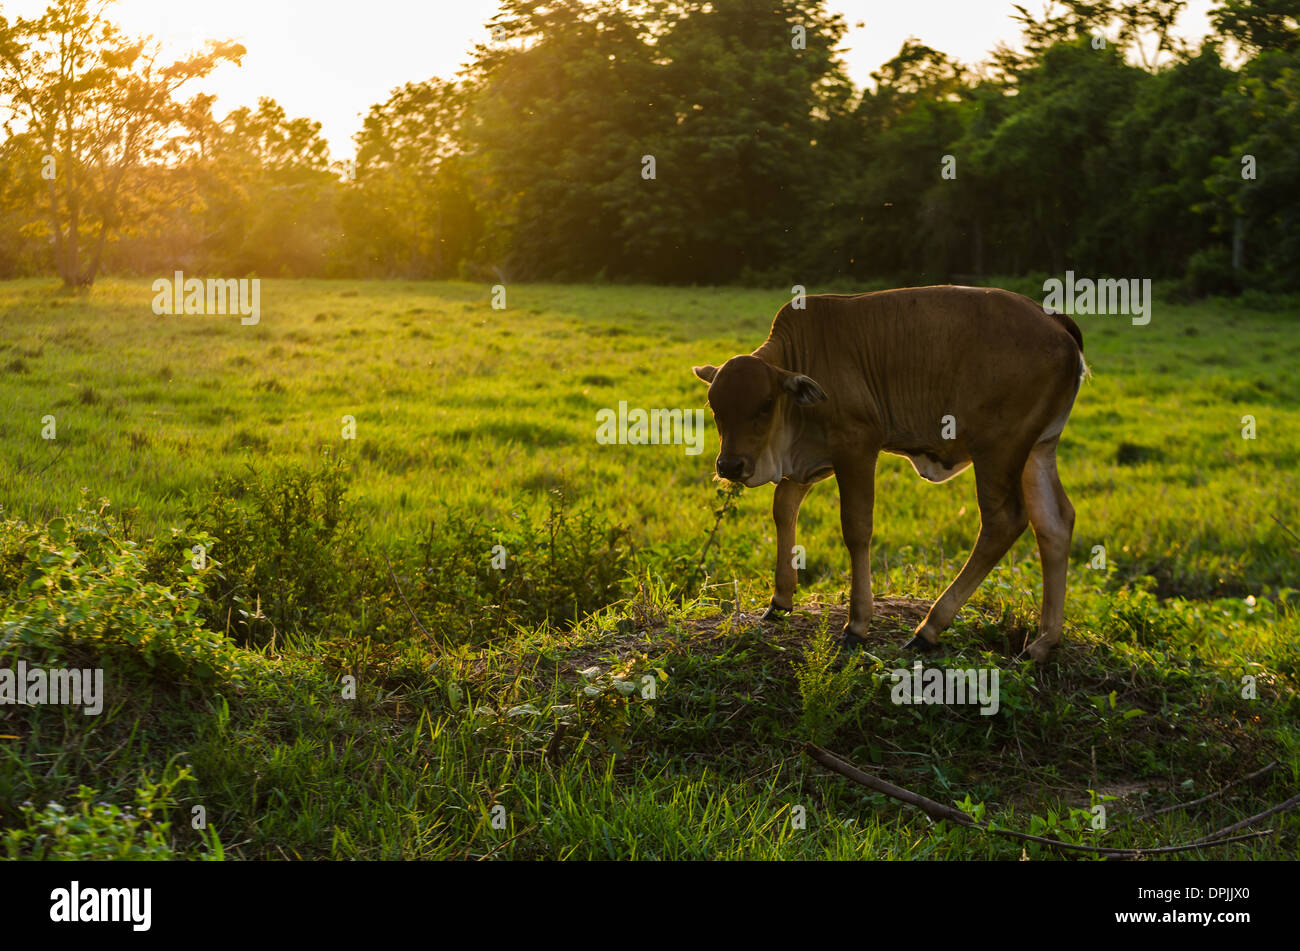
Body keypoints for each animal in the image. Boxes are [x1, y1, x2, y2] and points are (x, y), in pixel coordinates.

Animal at [692, 286, 1086, 661]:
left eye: (765, 404)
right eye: (714, 406)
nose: (730, 466)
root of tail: (1052, 319)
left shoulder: (857, 448)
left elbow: (856, 529)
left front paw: (857, 624)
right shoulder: (812, 461)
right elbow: (783, 508)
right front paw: (780, 600)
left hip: (998, 450)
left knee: (1003, 522)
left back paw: (929, 629)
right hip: (1037, 451)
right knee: (1054, 523)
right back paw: (1042, 643)